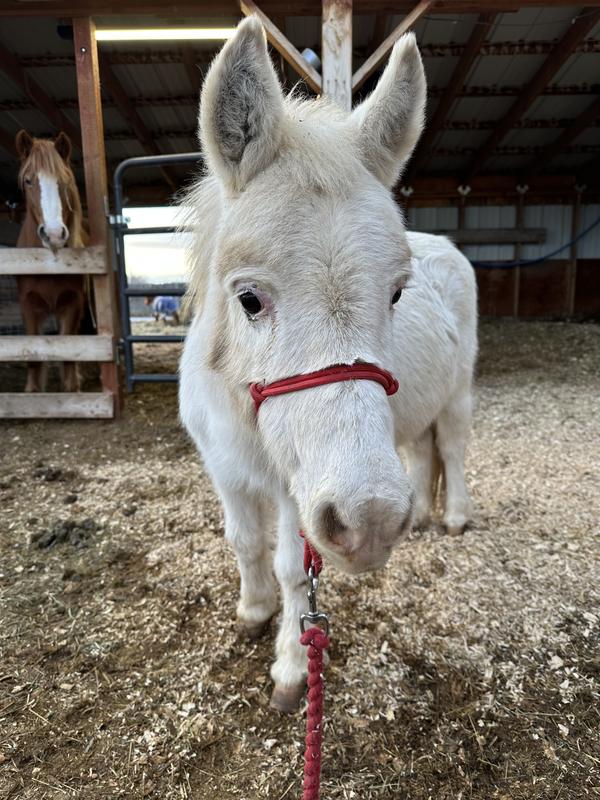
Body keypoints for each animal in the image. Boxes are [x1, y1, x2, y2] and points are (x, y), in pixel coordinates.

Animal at [15, 130, 88, 392]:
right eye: (28, 181)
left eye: (64, 180)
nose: (55, 234)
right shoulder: (28, 306)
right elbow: (34, 357)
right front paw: (33, 390)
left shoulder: (72, 304)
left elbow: (69, 354)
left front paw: (73, 387)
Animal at [179, 18, 478, 712]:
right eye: (248, 298)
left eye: (396, 293)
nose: (371, 520)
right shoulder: (223, 467)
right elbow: (243, 541)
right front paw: (252, 612)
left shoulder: (299, 488)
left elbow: (295, 570)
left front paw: (292, 667)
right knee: (423, 452)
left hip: (456, 394)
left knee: (451, 444)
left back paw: (452, 517)